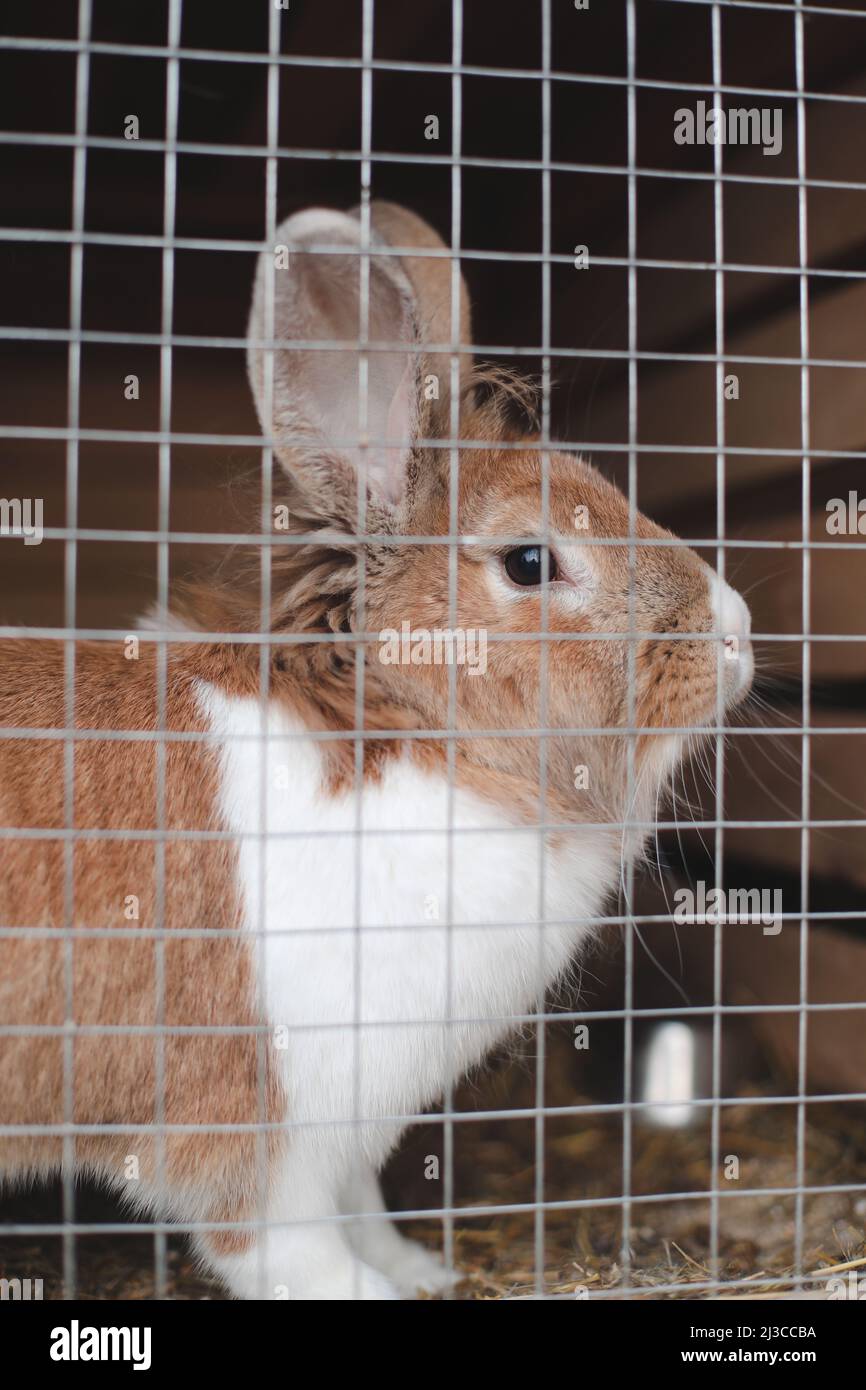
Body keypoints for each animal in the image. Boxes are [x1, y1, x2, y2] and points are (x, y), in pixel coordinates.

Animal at [0, 201, 753, 1301]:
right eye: (531, 561)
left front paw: (415, 1269)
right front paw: (368, 1291)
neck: (408, 736)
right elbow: (283, 1244)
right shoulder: (265, 1130)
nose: (735, 630)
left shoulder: (347, 1136)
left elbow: (361, 1207)